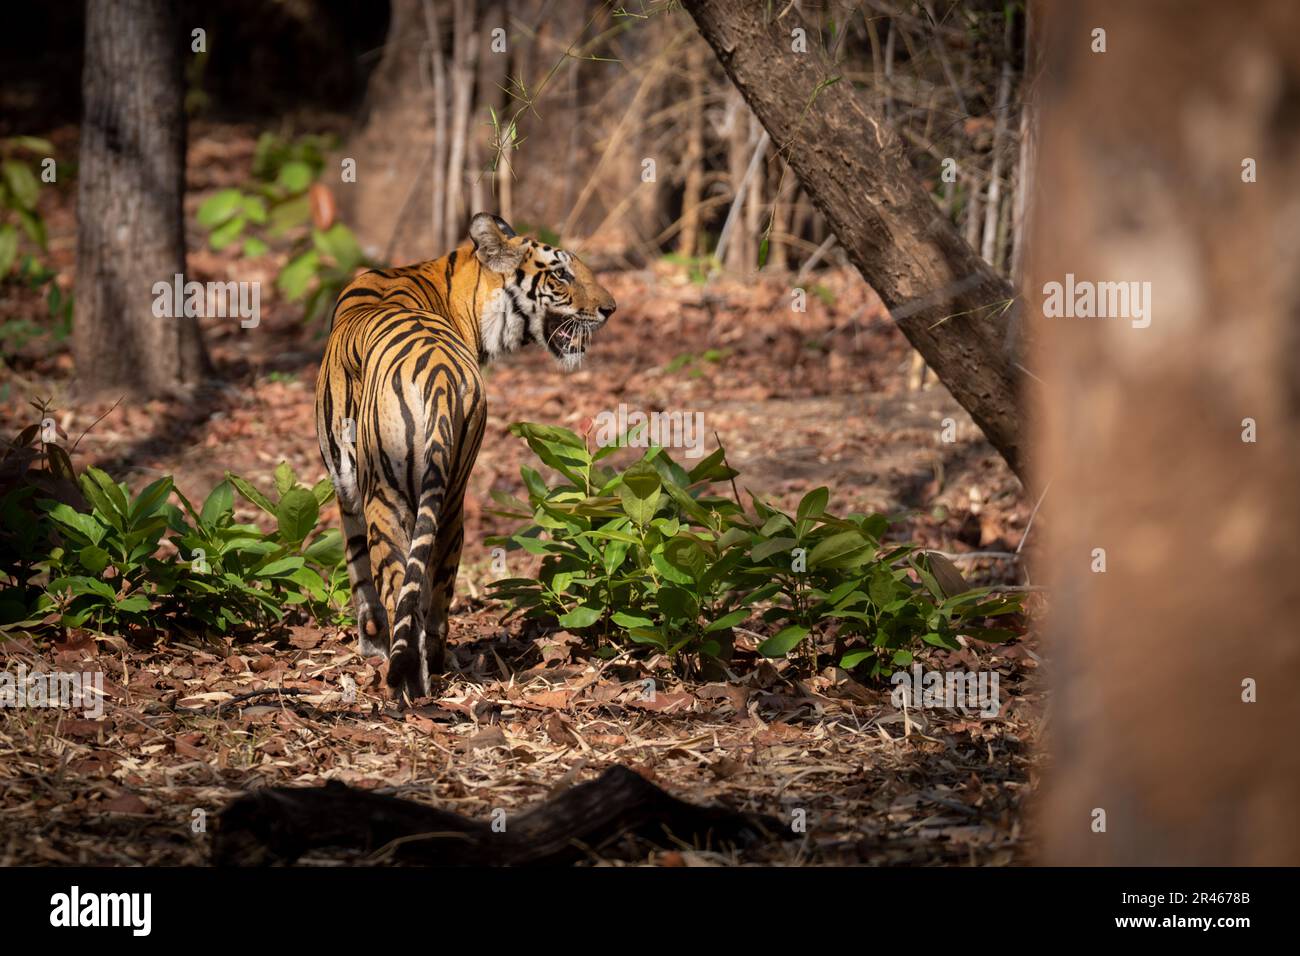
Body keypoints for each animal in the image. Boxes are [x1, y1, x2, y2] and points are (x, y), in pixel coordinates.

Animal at [315, 213, 616, 700]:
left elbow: (359, 571)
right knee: (430, 589)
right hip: (451, 493)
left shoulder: (347, 490)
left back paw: (411, 677)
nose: (612, 309)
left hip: (388, 497)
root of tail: (438, 375)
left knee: (406, 594)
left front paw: (370, 644)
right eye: (562, 273)